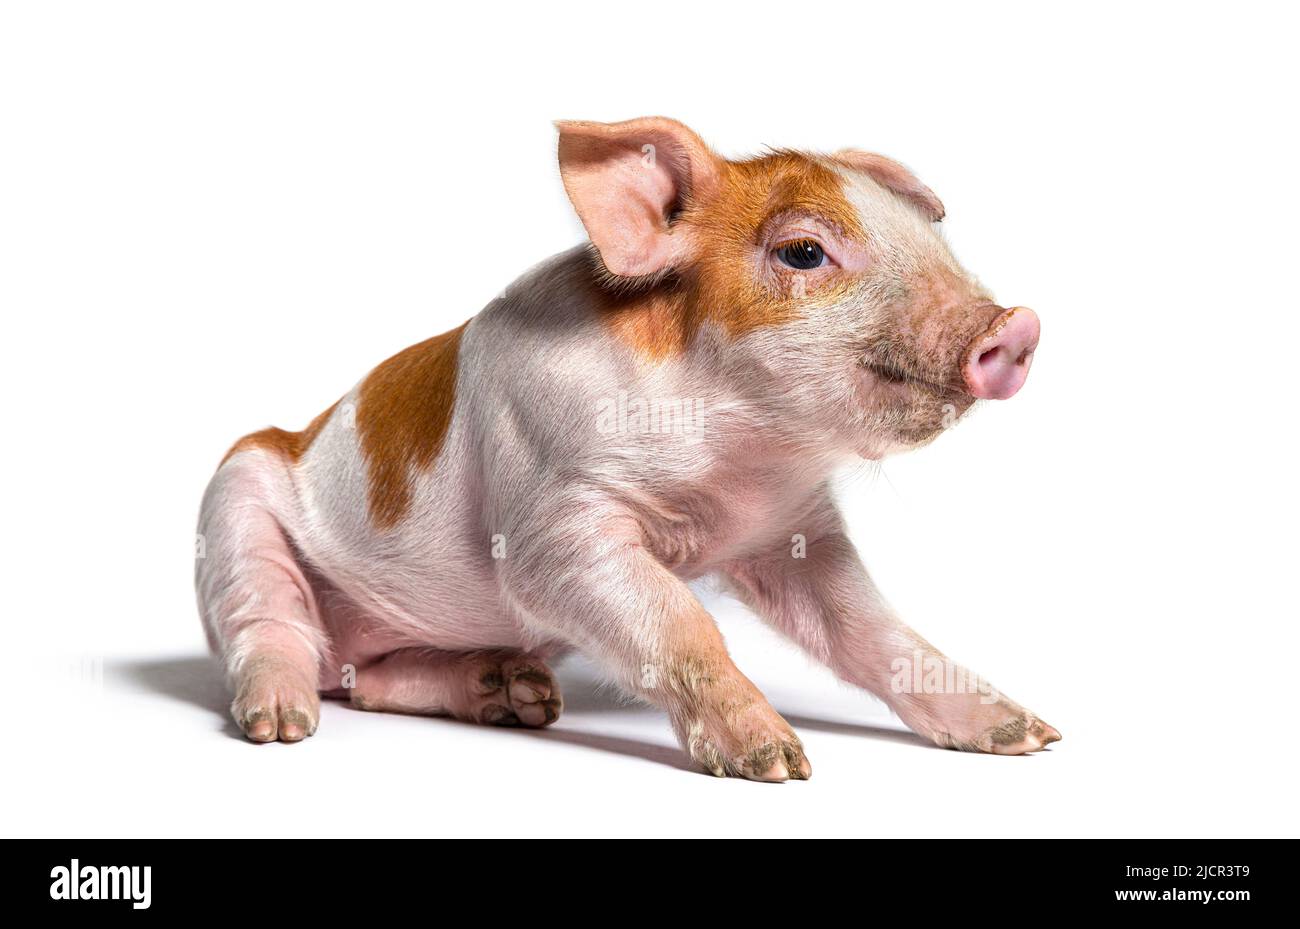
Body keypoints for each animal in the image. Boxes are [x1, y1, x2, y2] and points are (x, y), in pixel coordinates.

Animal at [196, 116, 1057, 780]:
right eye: (804, 253)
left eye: (931, 231)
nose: (1014, 324)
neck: (732, 466)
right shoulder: (552, 520)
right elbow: (680, 624)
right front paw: (779, 763)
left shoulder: (792, 530)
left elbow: (870, 631)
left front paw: (1030, 737)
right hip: (231, 507)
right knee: (269, 627)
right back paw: (281, 724)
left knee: (369, 682)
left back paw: (521, 694)